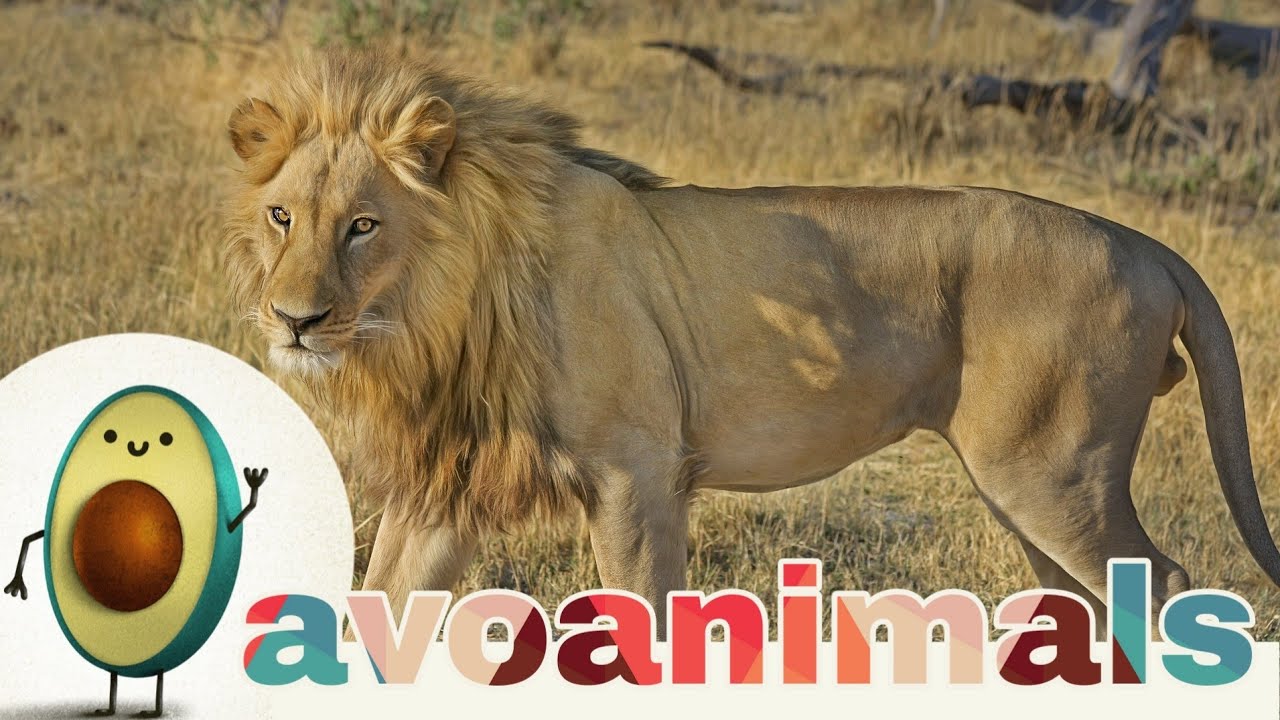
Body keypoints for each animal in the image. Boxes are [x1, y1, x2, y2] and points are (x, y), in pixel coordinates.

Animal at [222, 52, 1280, 629]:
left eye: (363, 225)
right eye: (282, 217)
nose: (294, 320)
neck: (437, 316)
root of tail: (1147, 244)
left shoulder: (636, 472)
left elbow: (642, 618)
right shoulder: (451, 484)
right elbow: (380, 605)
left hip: (1050, 475)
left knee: (1167, 582)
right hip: (1028, 491)